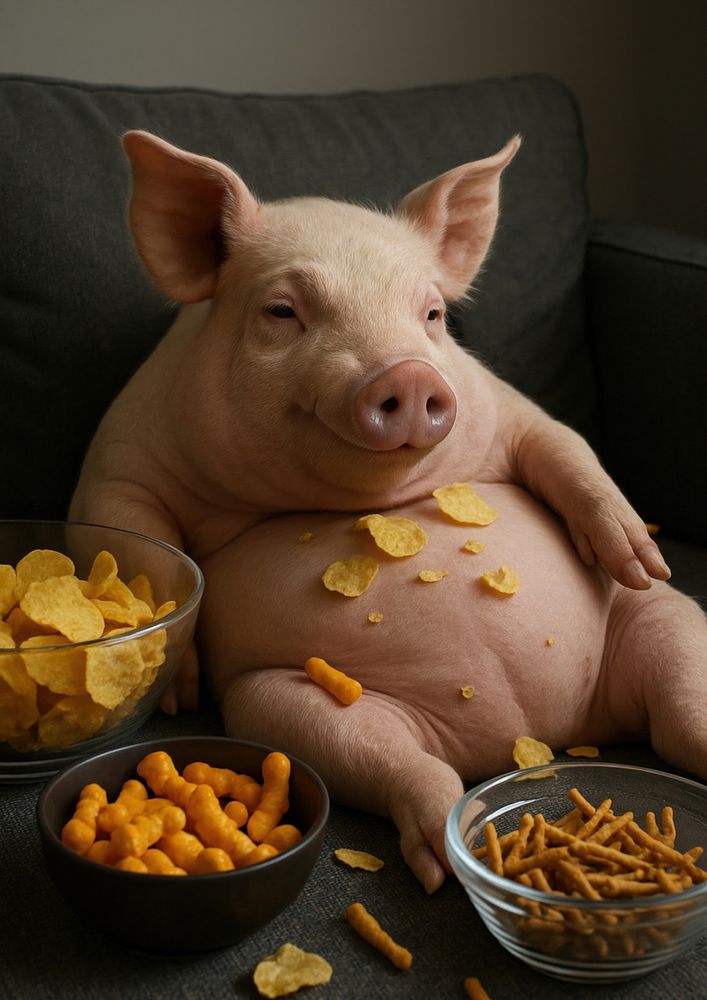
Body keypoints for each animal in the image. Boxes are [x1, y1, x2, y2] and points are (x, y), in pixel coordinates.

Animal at [70, 130, 707, 892]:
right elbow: (136, 537)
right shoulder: (122, 460)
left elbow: (563, 446)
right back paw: (444, 863)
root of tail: (542, 733)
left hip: (661, 621)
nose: (407, 373)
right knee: (405, 768)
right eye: (282, 312)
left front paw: (635, 556)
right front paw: (180, 686)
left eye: (431, 315)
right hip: (287, 701)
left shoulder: (503, 406)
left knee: (678, 700)